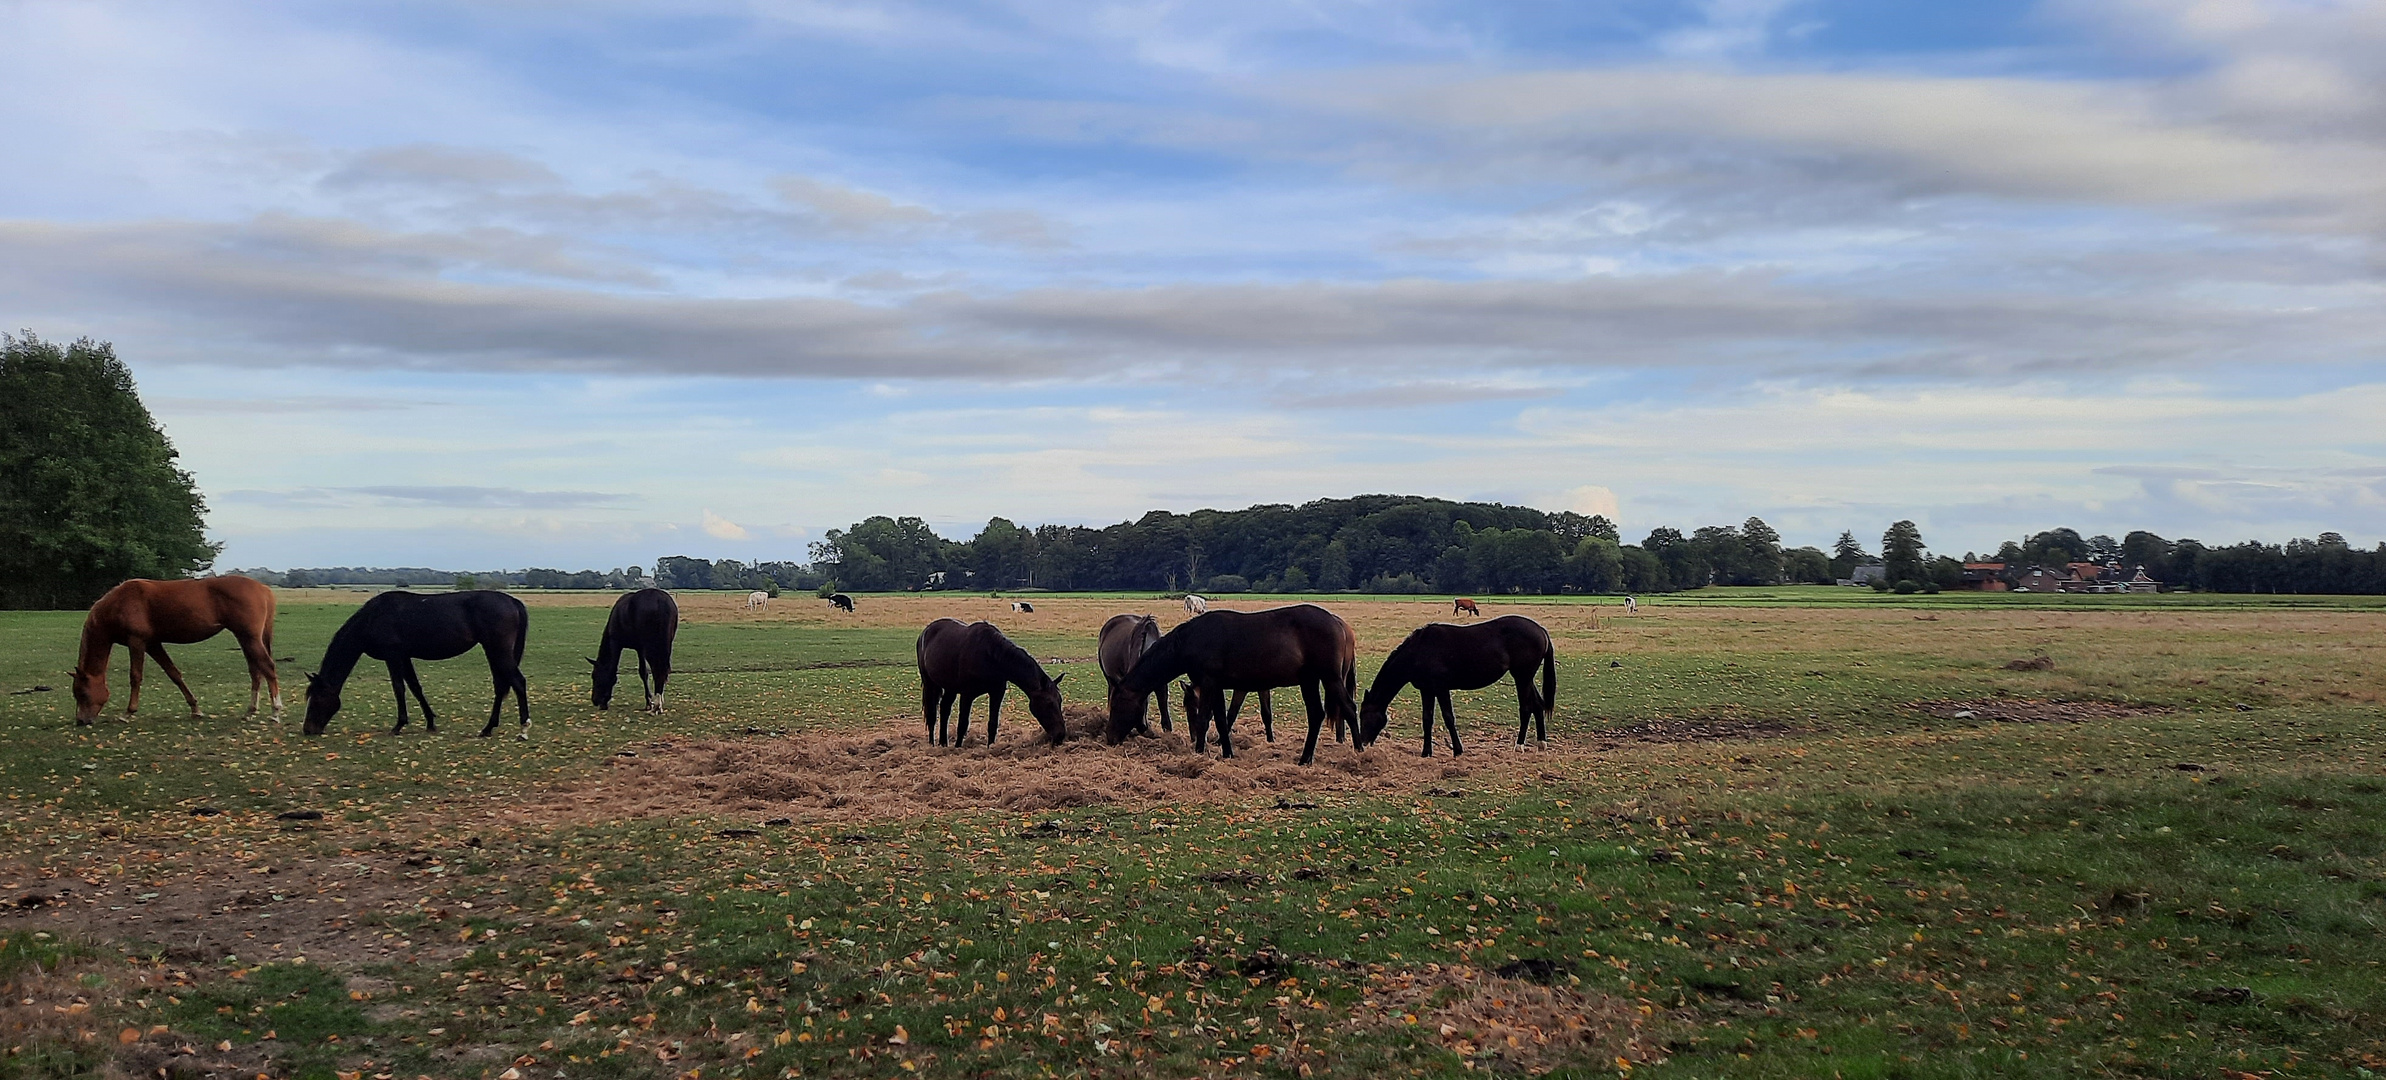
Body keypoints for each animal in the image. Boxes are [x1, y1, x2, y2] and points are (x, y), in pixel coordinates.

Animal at [72, 572, 279, 724]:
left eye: (82, 693)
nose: (81, 721)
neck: (120, 602)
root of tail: (264, 589)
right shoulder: (153, 644)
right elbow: (174, 674)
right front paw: (195, 709)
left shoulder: (137, 642)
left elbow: (135, 676)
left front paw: (128, 713)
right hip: (245, 639)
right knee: (255, 671)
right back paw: (250, 711)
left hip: (250, 638)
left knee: (268, 668)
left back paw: (275, 711)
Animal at [303, 584, 532, 734]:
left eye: (317, 698)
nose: (308, 729)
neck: (373, 618)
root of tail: (512, 601)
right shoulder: (404, 657)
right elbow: (415, 687)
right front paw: (430, 723)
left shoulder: (393, 656)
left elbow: (398, 688)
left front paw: (398, 725)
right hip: (493, 650)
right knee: (500, 685)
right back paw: (488, 728)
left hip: (498, 650)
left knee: (518, 682)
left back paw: (522, 728)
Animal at [911, 619, 1064, 743]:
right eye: (1049, 703)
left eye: (1059, 701)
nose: (1061, 735)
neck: (991, 656)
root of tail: (925, 631)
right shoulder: (967, 695)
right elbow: (963, 724)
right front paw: (958, 747)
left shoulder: (997, 693)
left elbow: (993, 724)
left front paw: (990, 747)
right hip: (930, 683)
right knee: (932, 713)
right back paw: (932, 743)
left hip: (950, 688)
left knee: (944, 709)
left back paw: (943, 743)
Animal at [1107, 600, 1355, 762]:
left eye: (1117, 704)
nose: (1110, 738)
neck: (1190, 642)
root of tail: (1339, 623)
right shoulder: (1216, 686)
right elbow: (1221, 720)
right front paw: (1227, 753)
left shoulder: (1208, 684)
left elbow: (1205, 720)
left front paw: (1199, 752)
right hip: (1309, 681)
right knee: (1317, 714)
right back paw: (1306, 757)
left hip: (1330, 678)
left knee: (1349, 708)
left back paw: (1359, 750)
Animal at [1355, 615, 1555, 758]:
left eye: (1365, 715)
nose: (1362, 743)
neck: (1419, 651)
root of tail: (1541, 630)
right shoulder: (1427, 690)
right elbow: (1427, 719)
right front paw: (1426, 752)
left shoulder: (1441, 688)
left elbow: (1448, 717)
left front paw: (1457, 750)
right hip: (1526, 678)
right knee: (1538, 705)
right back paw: (1541, 744)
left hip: (1522, 677)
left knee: (1526, 708)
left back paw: (1519, 745)